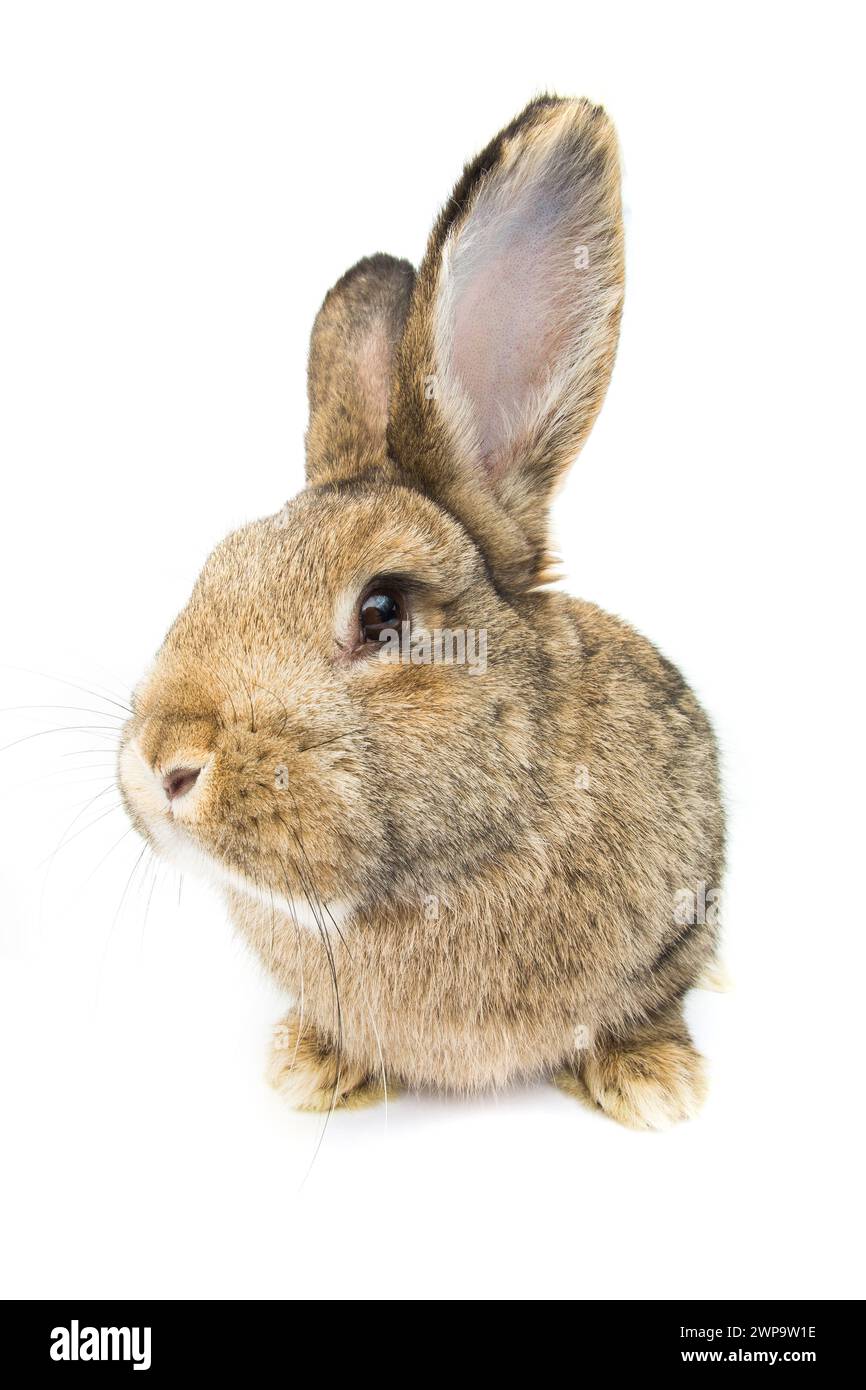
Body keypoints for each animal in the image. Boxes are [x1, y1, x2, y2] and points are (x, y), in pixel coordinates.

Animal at [118, 95, 724, 1129]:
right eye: (215, 570)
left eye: (383, 609)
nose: (162, 765)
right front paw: (313, 1067)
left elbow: (651, 1001)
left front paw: (654, 1084)